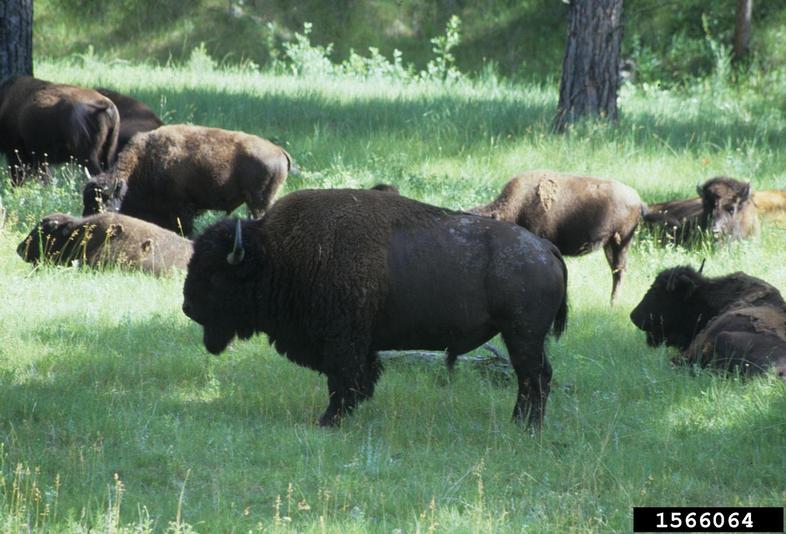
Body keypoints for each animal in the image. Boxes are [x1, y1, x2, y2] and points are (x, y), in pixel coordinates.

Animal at [182, 188, 568, 428]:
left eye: (214, 274)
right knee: (534, 377)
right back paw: (520, 424)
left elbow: (344, 381)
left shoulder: (343, 341)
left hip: (522, 336)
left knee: (534, 377)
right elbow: (360, 380)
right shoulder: (360, 344)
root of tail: (546, 249)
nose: (188, 307)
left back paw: (527, 427)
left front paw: (328, 420)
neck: (275, 254)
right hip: (523, 337)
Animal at [471, 170, 643, 303]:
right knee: (615, 271)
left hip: (620, 243)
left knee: (619, 271)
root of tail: (638, 200)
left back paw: (613, 303)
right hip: (610, 245)